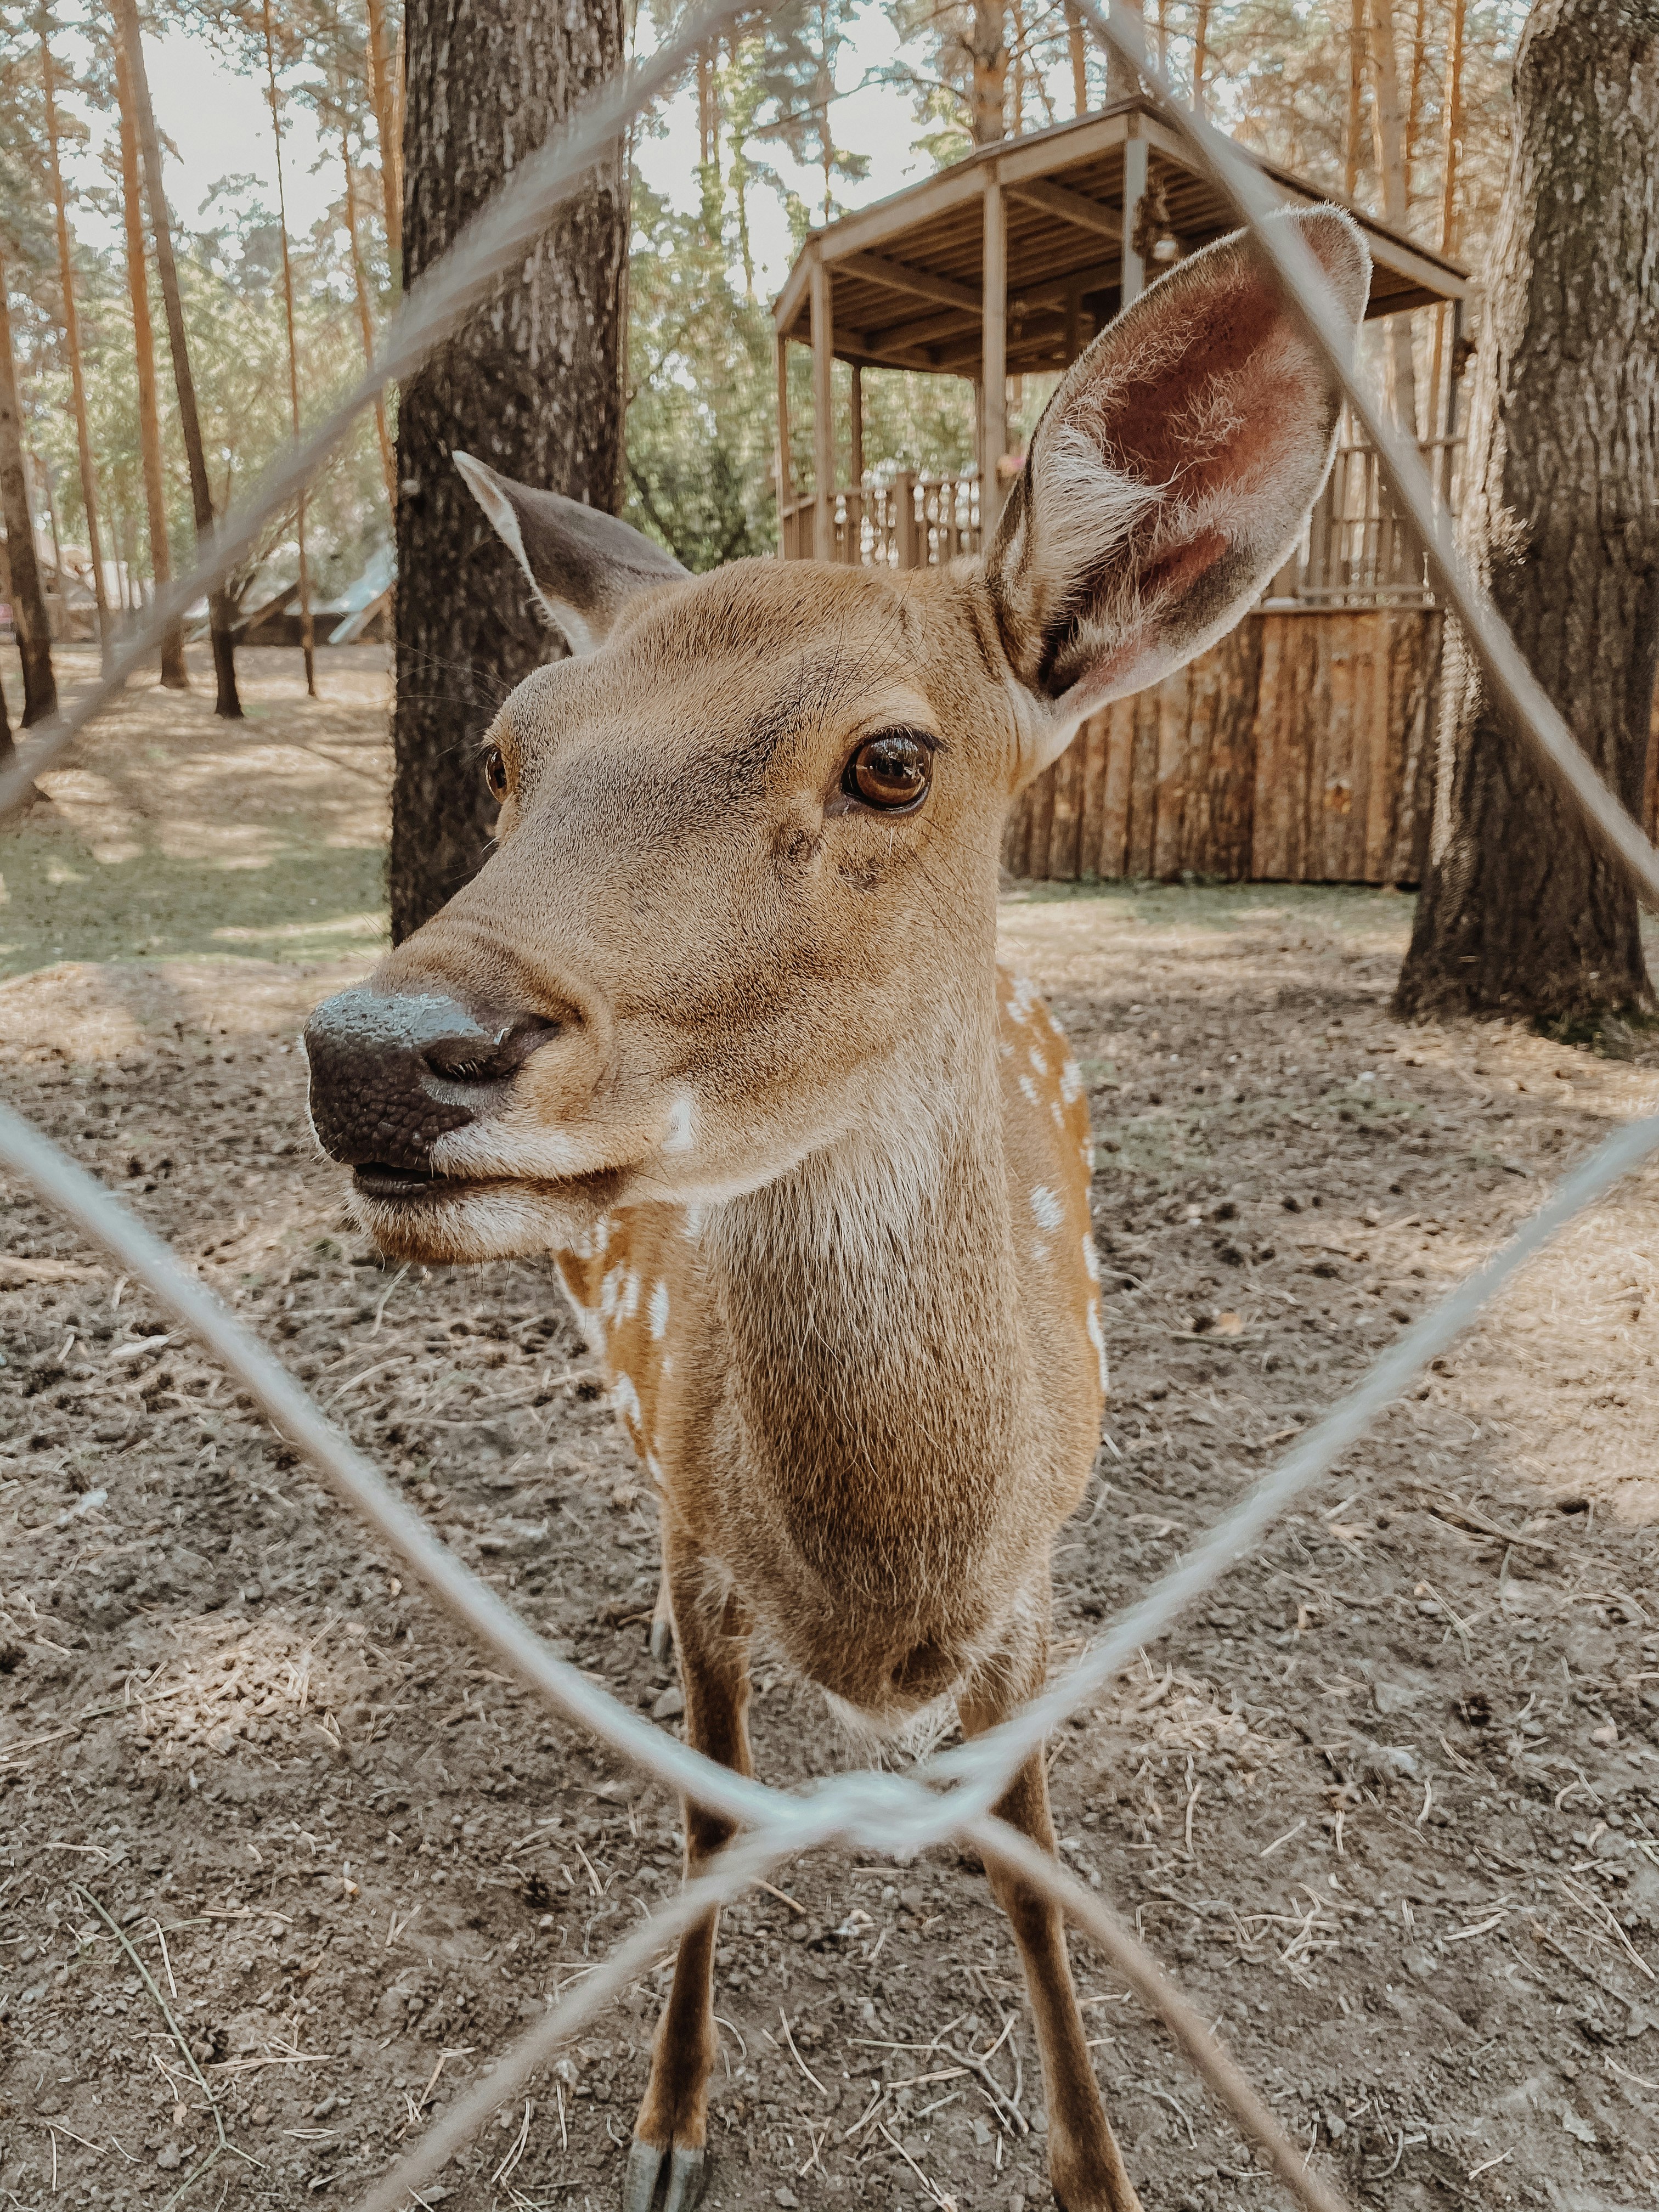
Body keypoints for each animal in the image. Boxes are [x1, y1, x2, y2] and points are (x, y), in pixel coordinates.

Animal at [303, 205, 1367, 2212]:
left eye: (893, 758)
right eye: (504, 754)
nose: (378, 1057)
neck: (888, 1595)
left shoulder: (1038, 1583)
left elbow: (1036, 1873)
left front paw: (1096, 2167)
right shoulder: (703, 1535)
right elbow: (709, 1827)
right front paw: (668, 2125)